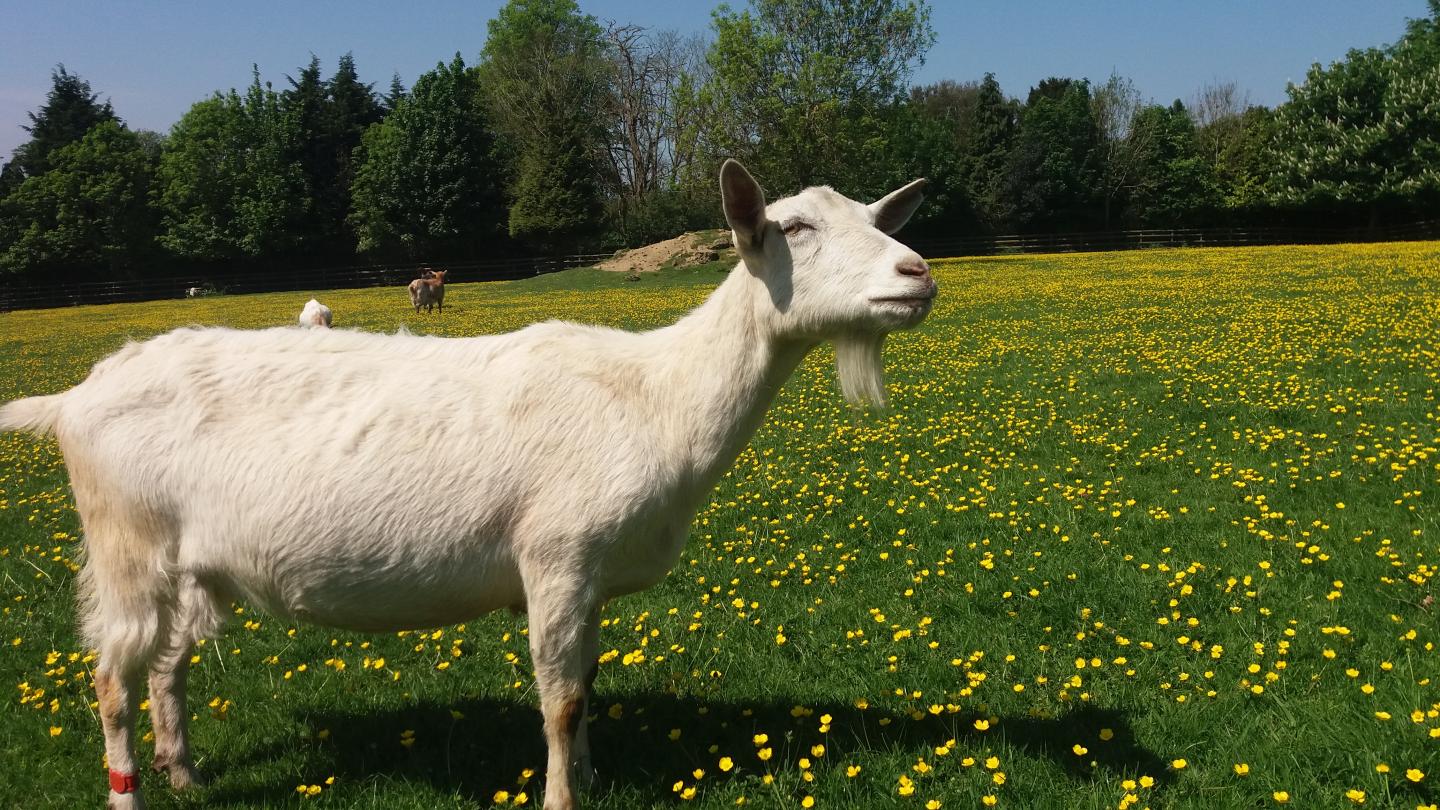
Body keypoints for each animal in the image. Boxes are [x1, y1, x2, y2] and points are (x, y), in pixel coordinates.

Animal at [0, 160, 933, 810]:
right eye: (794, 226)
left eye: (874, 218)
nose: (918, 273)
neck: (655, 395)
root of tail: (76, 397)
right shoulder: (555, 557)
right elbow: (560, 699)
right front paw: (560, 796)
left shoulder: (588, 577)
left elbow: (588, 681)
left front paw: (591, 778)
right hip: (124, 545)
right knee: (112, 681)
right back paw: (131, 789)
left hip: (186, 564)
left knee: (167, 669)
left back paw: (185, 773)